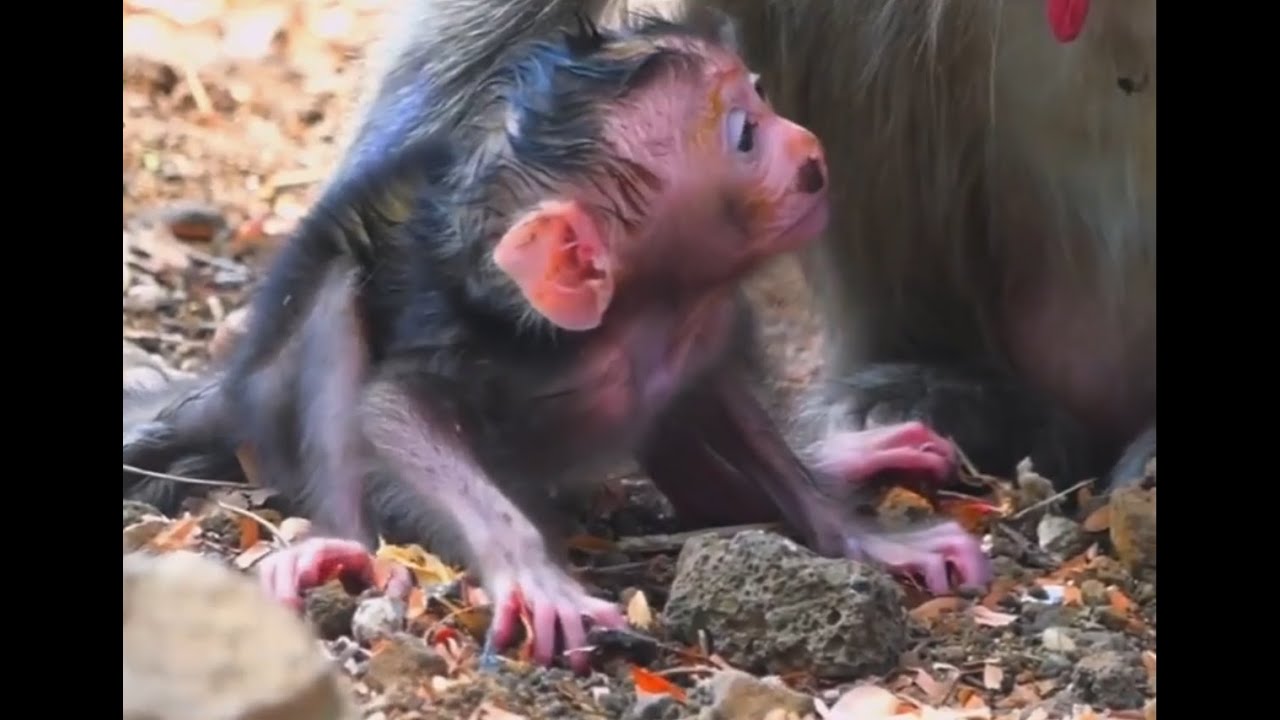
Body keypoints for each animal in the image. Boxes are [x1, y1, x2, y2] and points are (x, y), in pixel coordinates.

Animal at [123, 12, 992, 672]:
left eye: (762, 95)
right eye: (744, 135)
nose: (809, 148)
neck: (642, 318)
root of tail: (234, 387)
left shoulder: (695, 328)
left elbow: (733, 413)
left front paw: (867, 537)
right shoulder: (513, 351)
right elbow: (394, 409)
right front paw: (535, 576)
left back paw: (842, 459)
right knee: (337, 303)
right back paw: (341, 546)